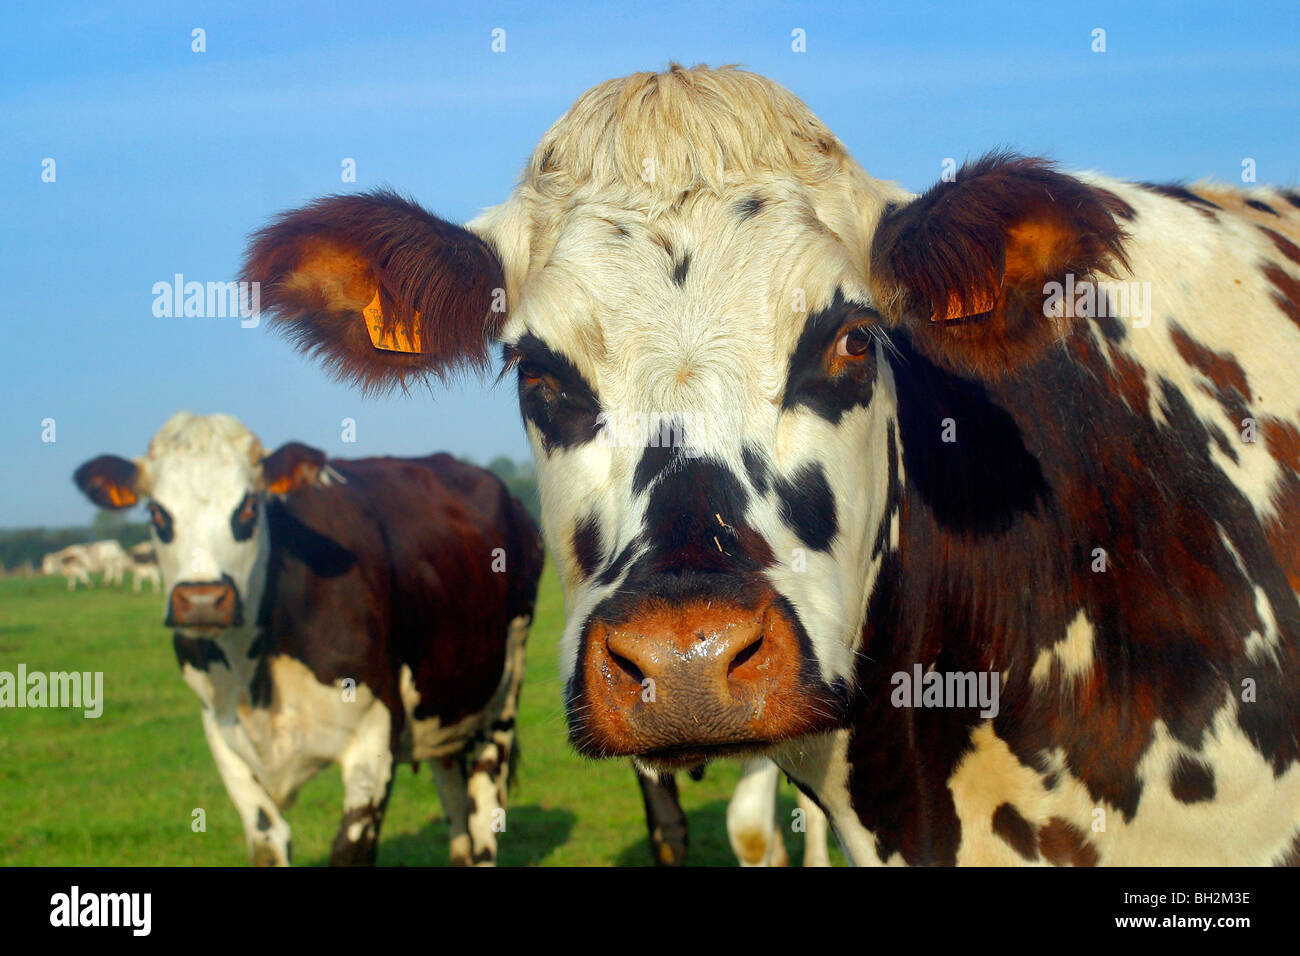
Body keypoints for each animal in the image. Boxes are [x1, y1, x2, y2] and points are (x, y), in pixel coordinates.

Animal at [73, 412, 543, 866]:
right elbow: (268, 843)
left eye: (248, 507)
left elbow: (350, 849)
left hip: (502, 699)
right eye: (157, 513)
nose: (203, 600)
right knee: (456, 808)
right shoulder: (223, 735)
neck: (254, 670)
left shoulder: (373, 736)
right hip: (445, 708)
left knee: (483, 815)